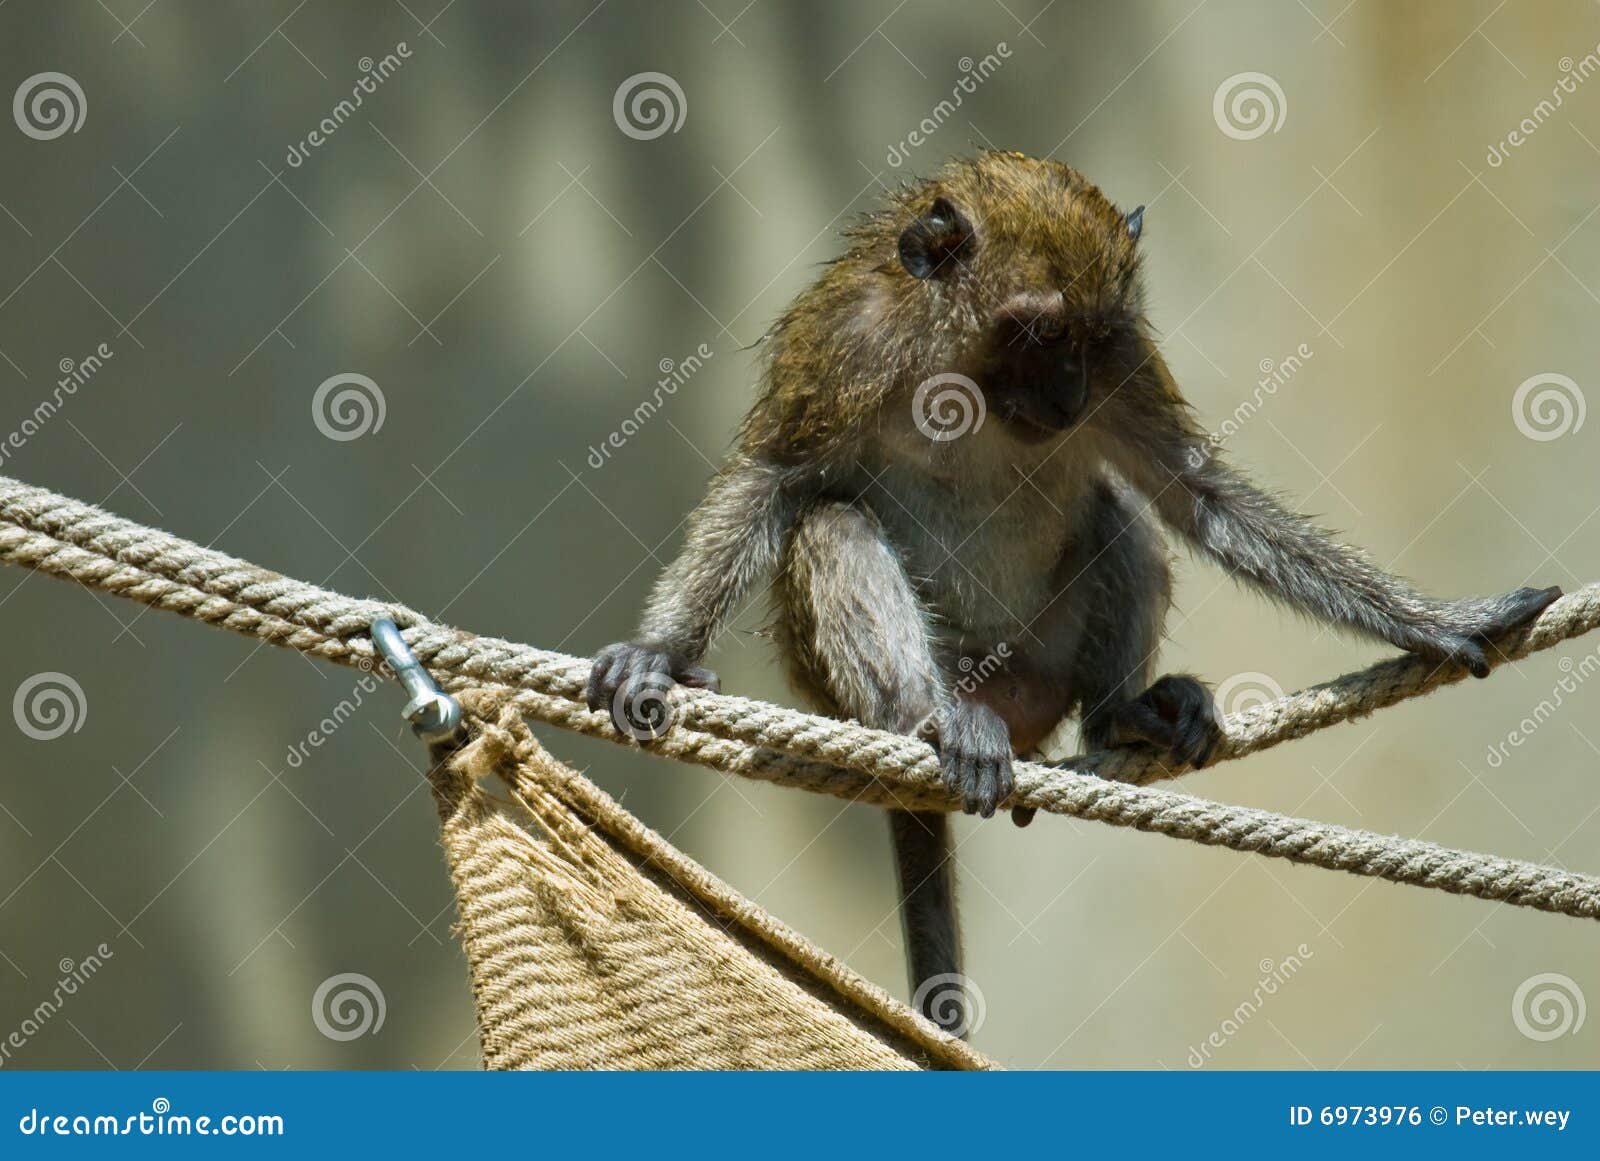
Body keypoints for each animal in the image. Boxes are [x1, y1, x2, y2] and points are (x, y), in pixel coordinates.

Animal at [585, 151, 1560, 1037]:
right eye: (1041, 335)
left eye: (1088, 339)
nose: (1070, 395)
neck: (962, 364)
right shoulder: (845, 343)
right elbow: (776, 479)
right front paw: (662, 654)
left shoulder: (1128, 360)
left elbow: (1197, 496)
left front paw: (1434, 624)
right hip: (859, 685)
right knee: (831, 524)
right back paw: (924, 719)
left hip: (1043, 669)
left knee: (1116, 515)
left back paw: (1120, 715)